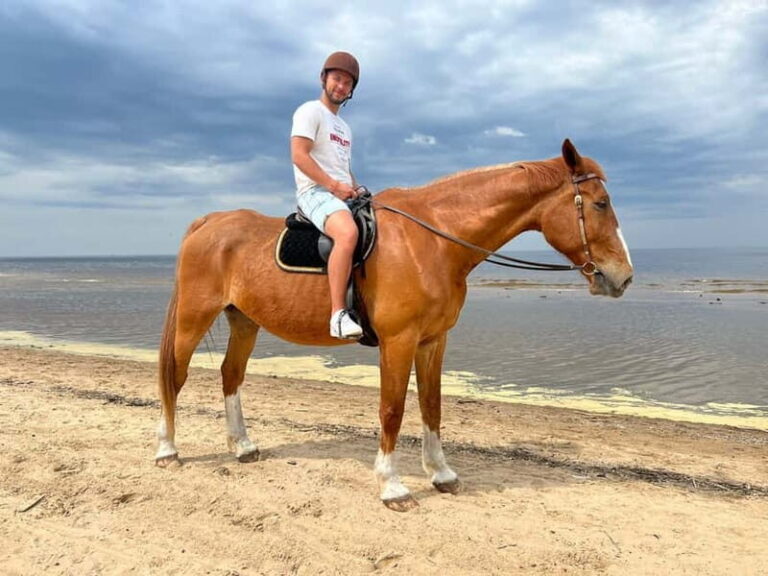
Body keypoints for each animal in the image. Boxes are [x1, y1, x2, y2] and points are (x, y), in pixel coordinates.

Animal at [155, 139, 633, 511]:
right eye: (600, 203)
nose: (623, 277)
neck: (434, 240)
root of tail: (209, 222)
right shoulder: (398, 341)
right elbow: (393, 409)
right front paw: (392, 485)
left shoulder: (433, 341)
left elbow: (431, 406)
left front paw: (441, 473)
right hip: (195, 317)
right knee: (175, 377)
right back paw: (167, 449)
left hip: (245, 322)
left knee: (230, 376)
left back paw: (242, 447)